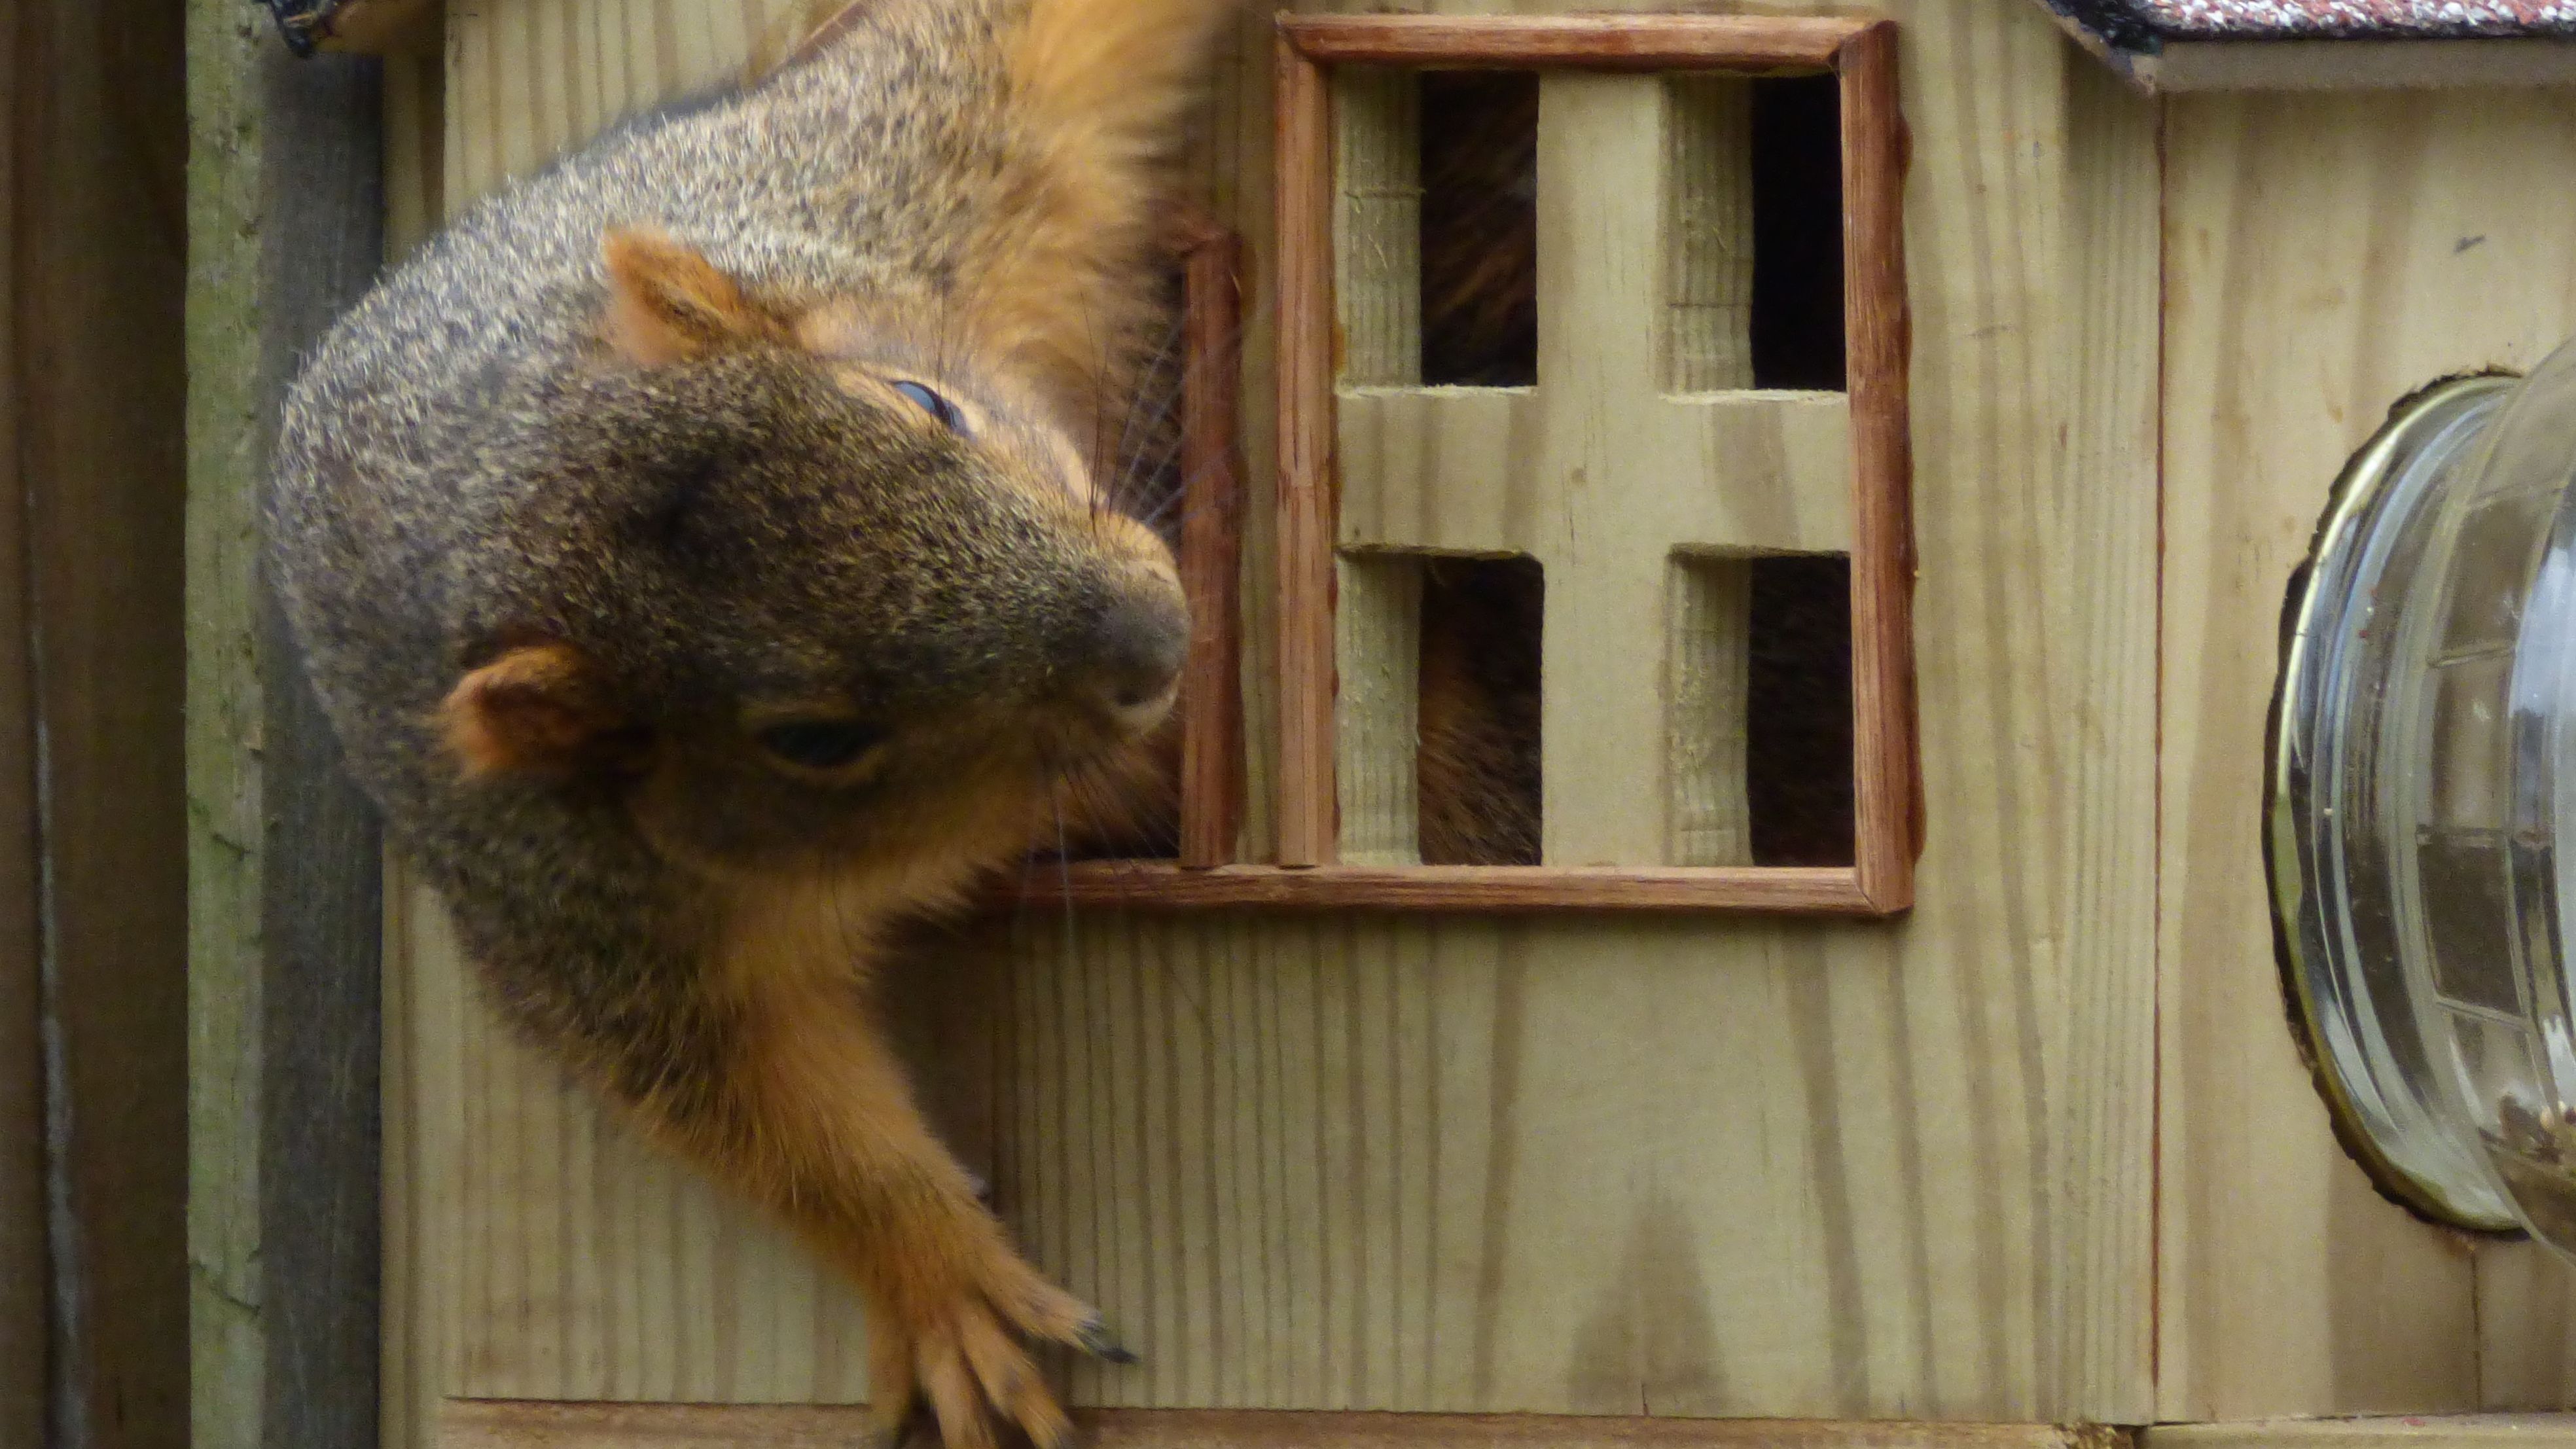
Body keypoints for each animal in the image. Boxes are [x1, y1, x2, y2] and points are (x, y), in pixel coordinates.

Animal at [269, 0, 1230, 1443]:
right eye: (813, 739)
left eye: (923, 402)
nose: (1150, 638)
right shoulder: (598, 929)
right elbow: (774, 1119)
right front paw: (946, 1284)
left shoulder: (915, 171)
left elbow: (1037, 41)